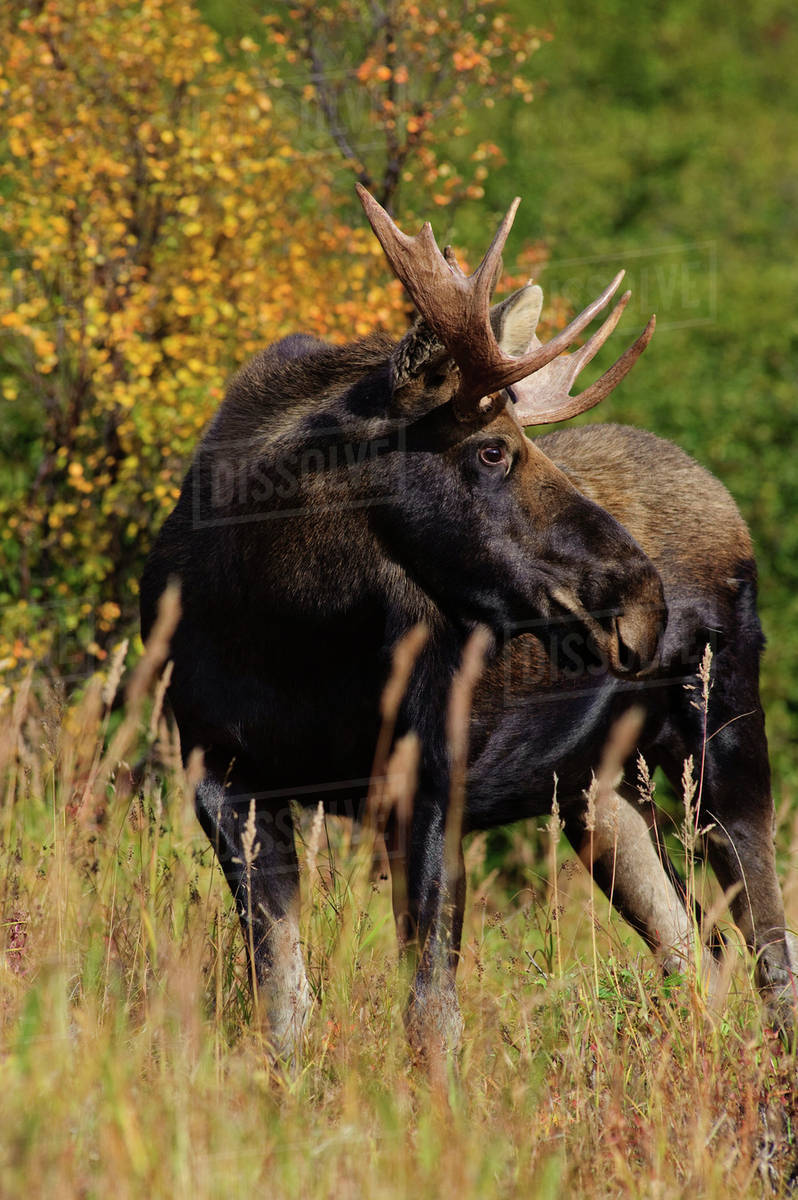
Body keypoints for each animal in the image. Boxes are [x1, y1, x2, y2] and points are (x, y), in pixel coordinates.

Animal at [140, 185, 795, 1057]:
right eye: (491, 449)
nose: (641, 600)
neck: (278, 627)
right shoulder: (220, 774)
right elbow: (284, 1007)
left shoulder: (426, 770)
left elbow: (431, 1012)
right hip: (597, 786)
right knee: (695, 945)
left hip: (721, 728)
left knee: (767, 946)